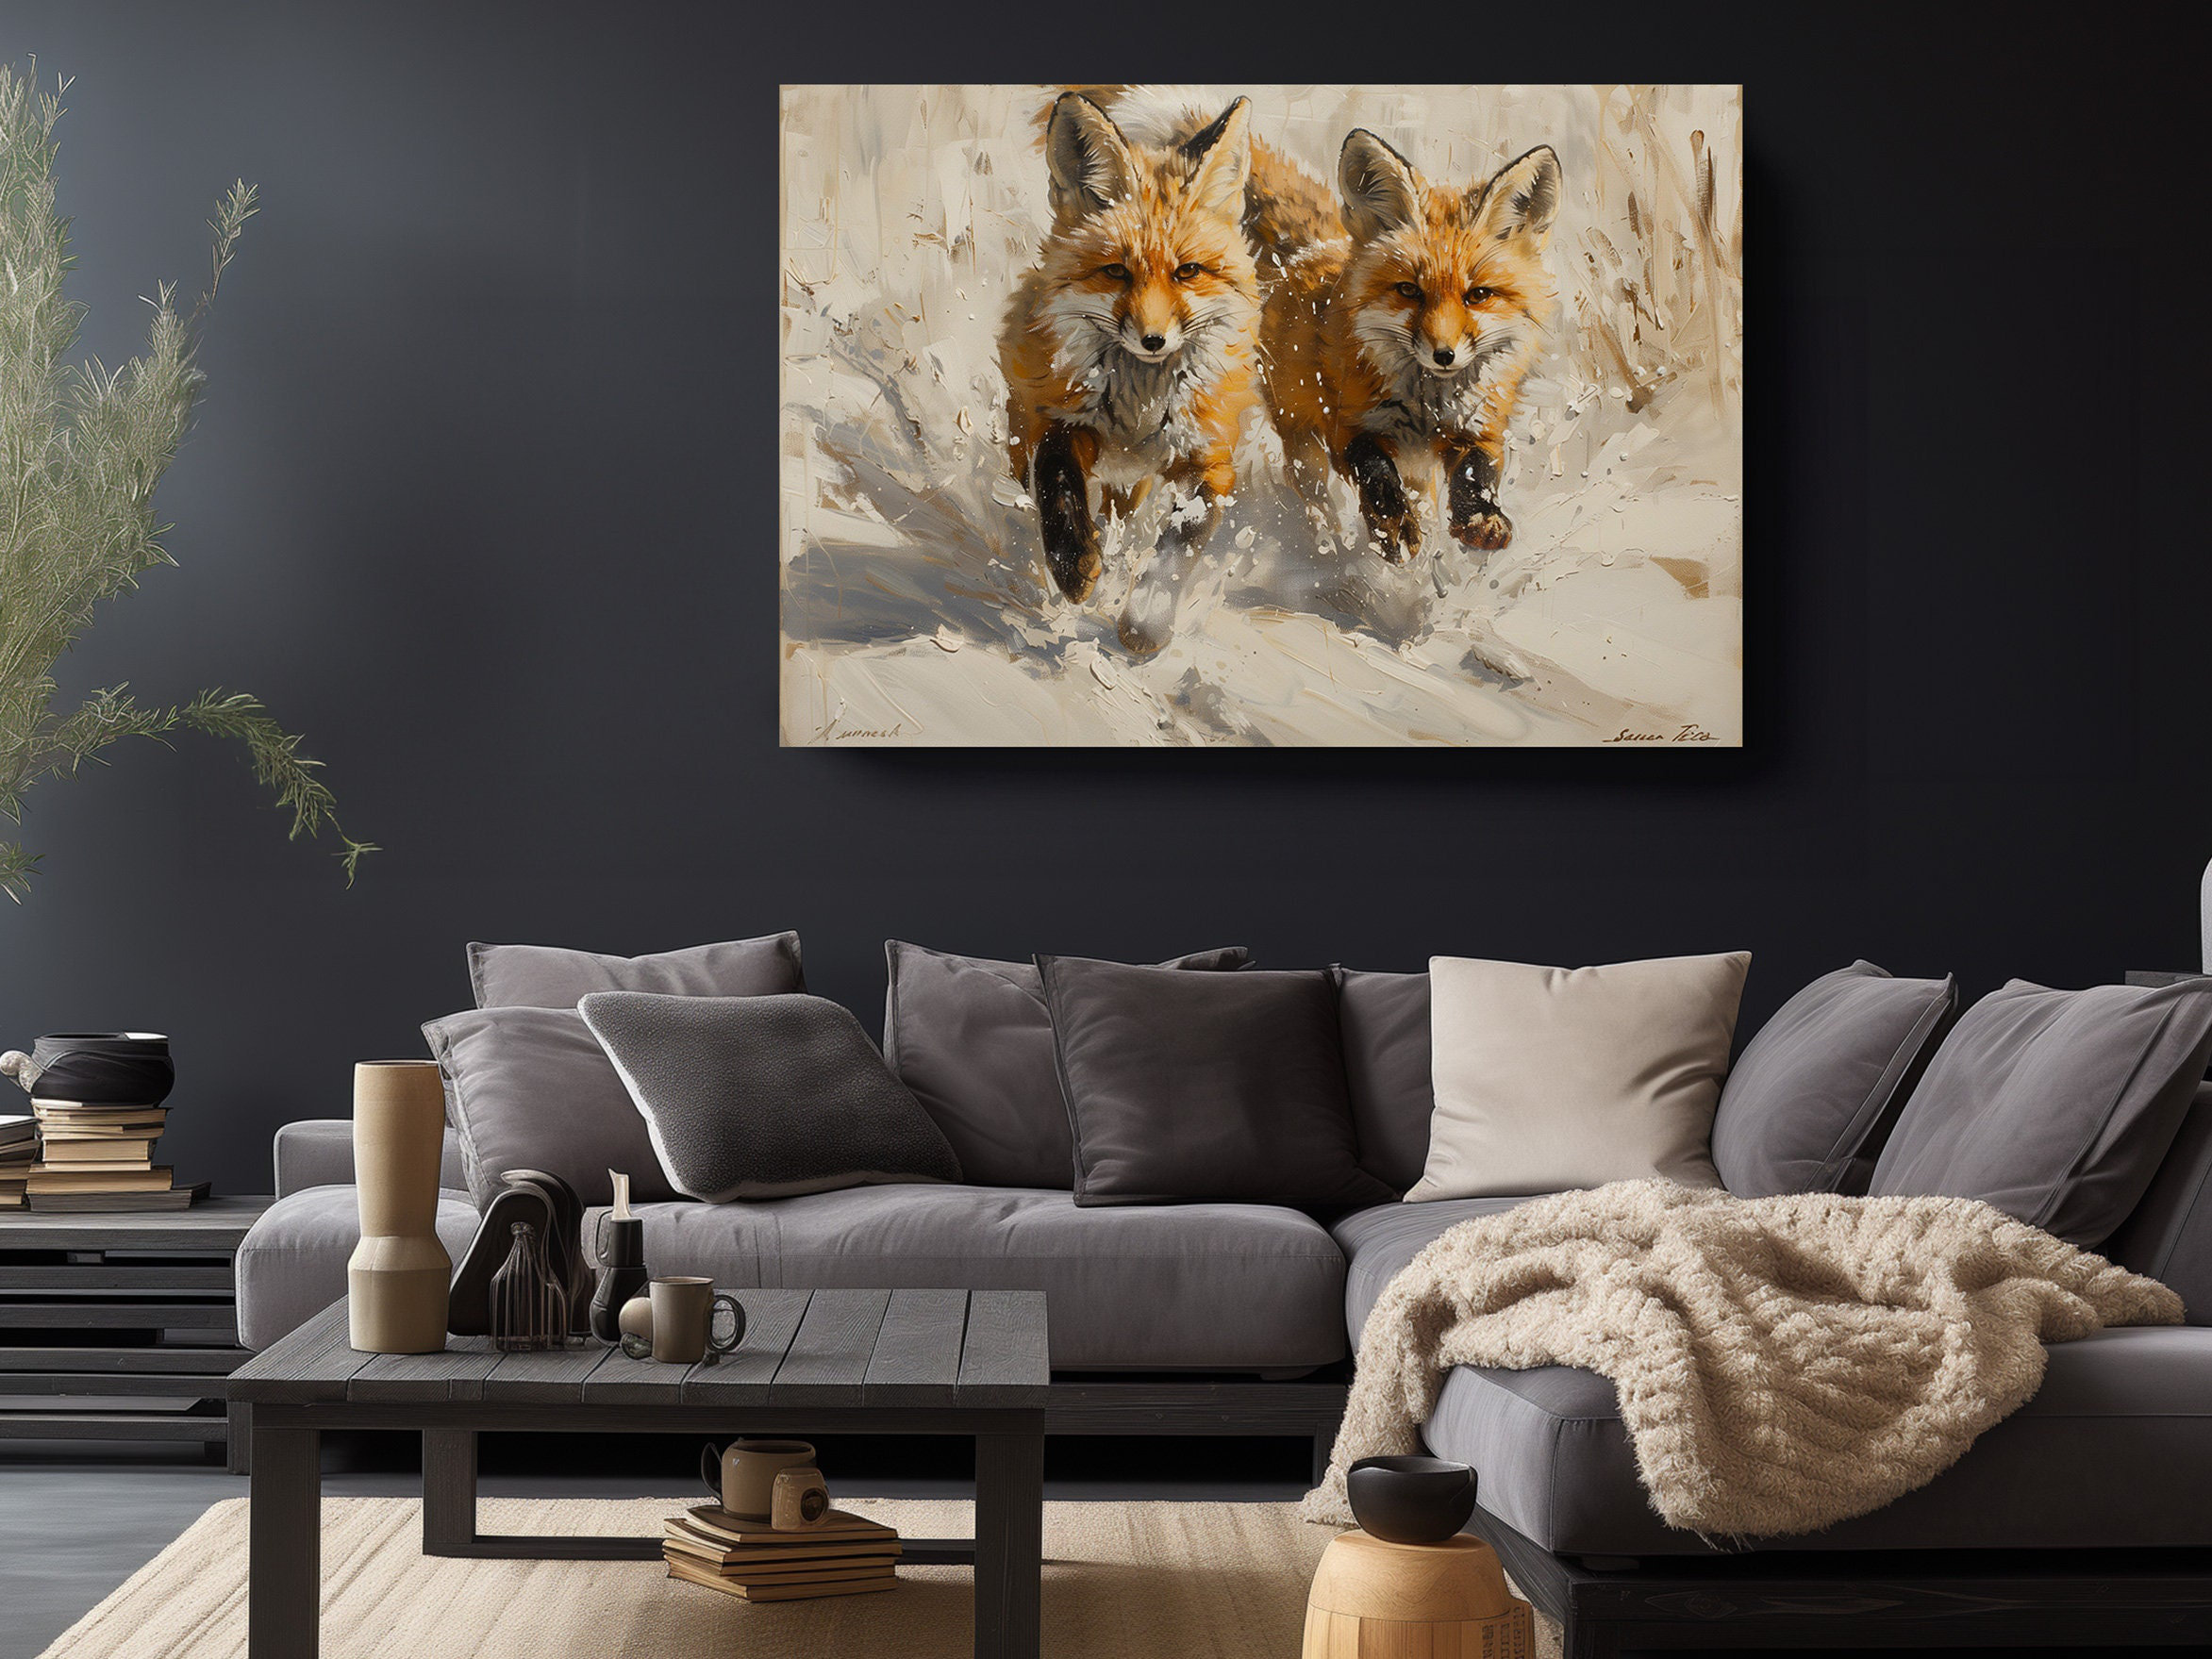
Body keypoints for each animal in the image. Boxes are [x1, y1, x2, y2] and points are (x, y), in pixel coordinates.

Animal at [999, 91, 1261, 656]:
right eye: (1117, 271)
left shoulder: (1210, 459)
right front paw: (1073, 565)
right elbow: (1056, 482)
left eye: (1188, 271)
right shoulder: (1060, 420)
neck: (1138, 411)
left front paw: (1146, 620)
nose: (1153, 340)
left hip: (1136, 484)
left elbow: (1179, 547)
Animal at [1248, 129, 1561, 563]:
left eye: (1478, 295)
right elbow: (1375, 471)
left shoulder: (1481, 428)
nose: (1444, 354)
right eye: (1410, 291)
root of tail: (1313, 249)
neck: (1428, 408)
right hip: (1301, 440)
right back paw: (1329, 546)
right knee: (1314, 498)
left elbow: (1476, 471)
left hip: (1415, 468)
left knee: (1423, 497)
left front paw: (1481, 520)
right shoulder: (1348, 428)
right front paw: (1392, 527)